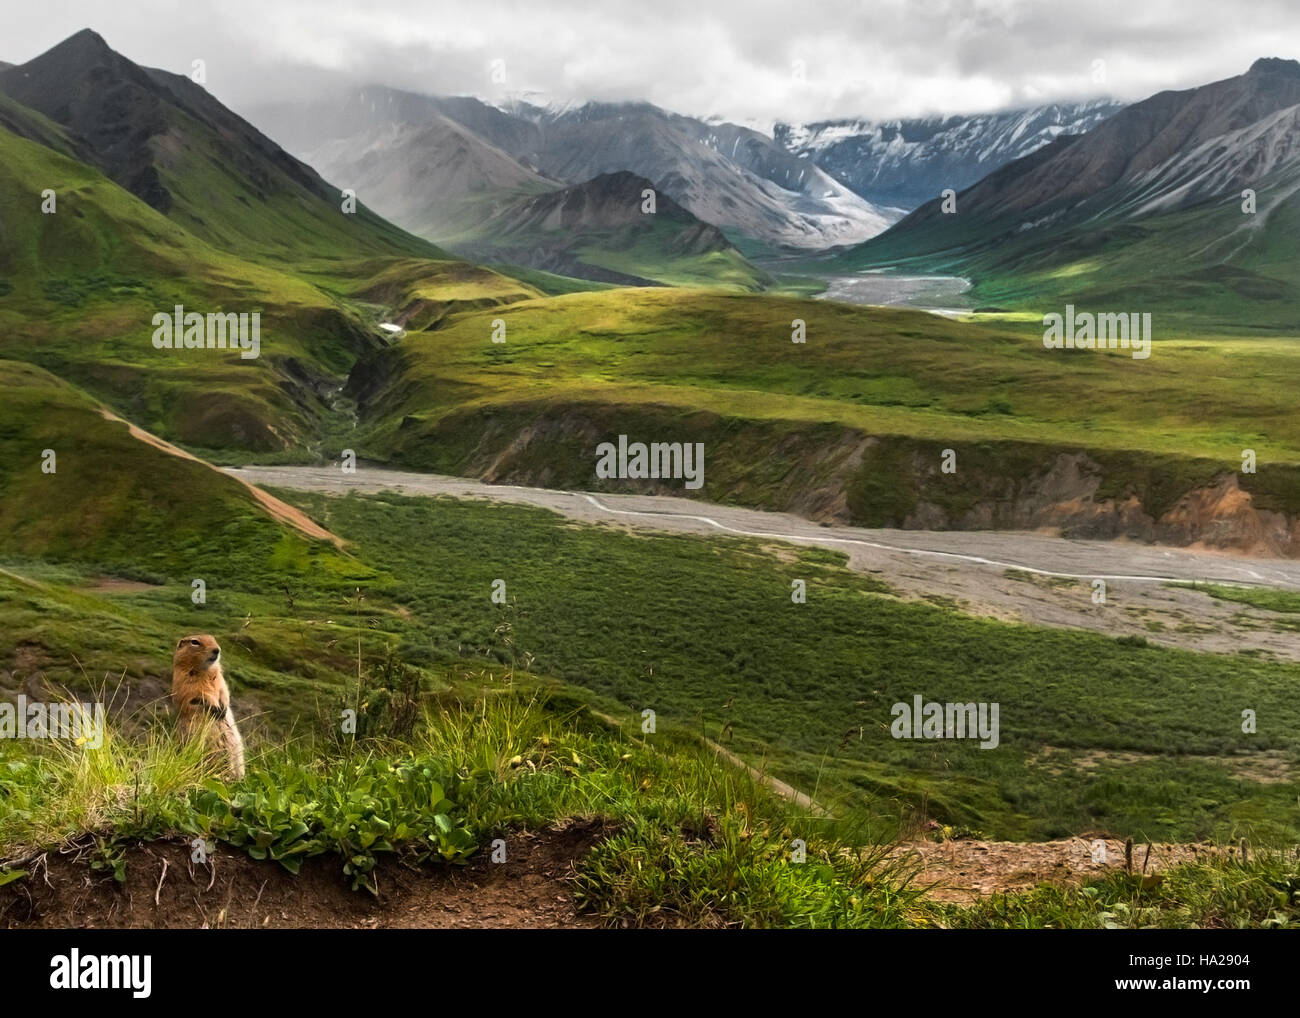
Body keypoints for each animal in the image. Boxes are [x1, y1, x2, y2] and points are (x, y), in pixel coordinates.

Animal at [171, 634, 245, 780]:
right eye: (195, 642)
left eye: (213, 638)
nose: (217, 650)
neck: (205, 670)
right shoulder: (187, 683)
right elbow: (200, 695)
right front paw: (216, 708)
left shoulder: (220, 680)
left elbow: (224, 691)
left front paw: (223, 708)